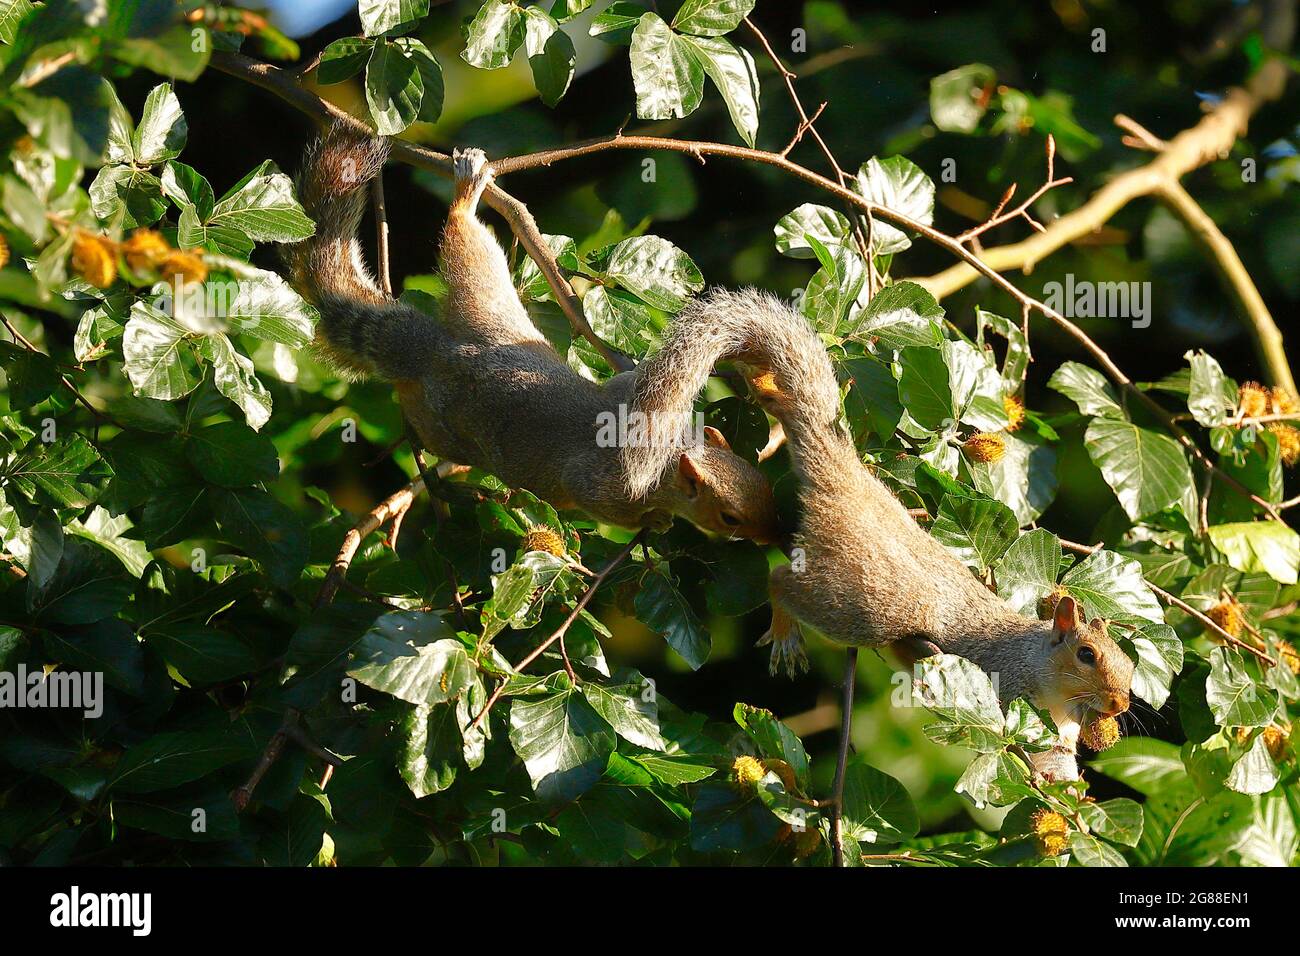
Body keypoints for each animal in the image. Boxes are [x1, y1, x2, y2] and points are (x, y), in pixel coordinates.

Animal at [282, 127, 778, 543]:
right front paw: (655, 520)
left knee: (469, 249)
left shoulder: (622, 393)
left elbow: (625, 380)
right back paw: (466, 190)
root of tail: (435, 352)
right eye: (730, 517)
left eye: (762, 484)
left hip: (488, 302)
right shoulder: (603, 485)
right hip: (445, 417)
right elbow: (604, 506)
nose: (772, 538)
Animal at [622, 288, 1134, 769]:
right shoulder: (1007, 686)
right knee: (784, 581)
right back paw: (787, 630)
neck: (1050, 685)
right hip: (870, 607)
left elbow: (1057, 768)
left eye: (1131, 665)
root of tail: (849, 484)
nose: (1118, 704)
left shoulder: (1061, 737)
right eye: (1086, 654)